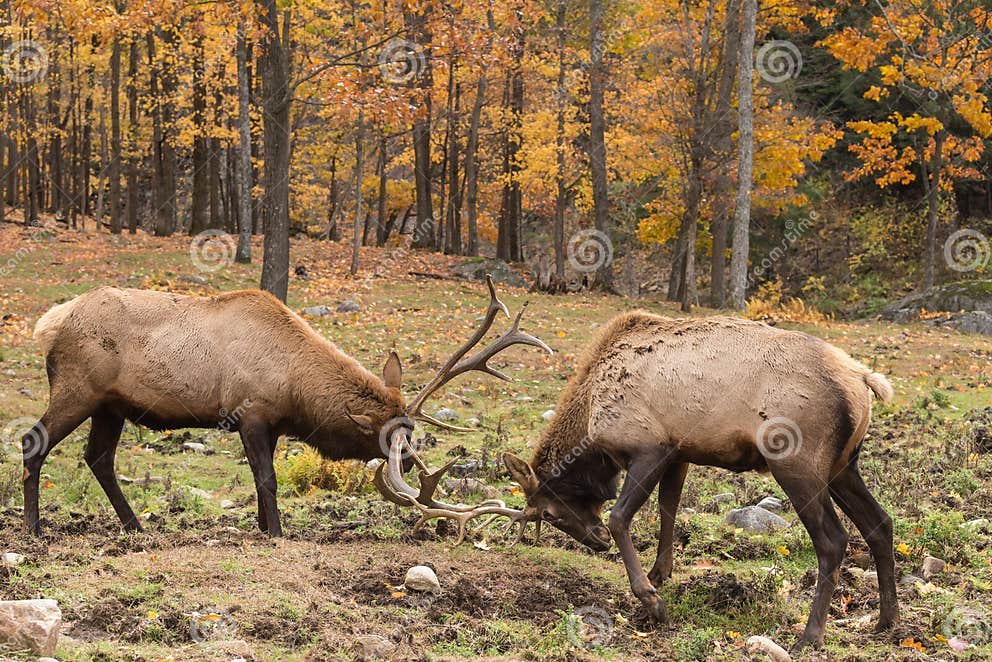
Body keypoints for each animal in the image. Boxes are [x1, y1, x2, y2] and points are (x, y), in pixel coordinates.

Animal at [22, 276, 550, 537]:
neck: (297, 390)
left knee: (99, 458)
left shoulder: (273, 425)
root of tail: (50, 322)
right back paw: (34, 529)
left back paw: (134, 526)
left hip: (111, 406)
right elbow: (267, 479)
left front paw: (262, 524)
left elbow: (262, 482)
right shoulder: (250, 414)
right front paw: (277, 532)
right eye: (389, 442)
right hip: (78, 390)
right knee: (34, 441)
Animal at [494, 311, 898, 650]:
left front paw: (652, 600)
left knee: (833, 539)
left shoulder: (649, 446)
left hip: (796, 461)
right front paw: (660, 574)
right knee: (880, 522)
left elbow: (620, 517)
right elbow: (668, 506)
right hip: (843, 466)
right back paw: (887, 621)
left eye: (549, 514)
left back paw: (810, 636)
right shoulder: (679, 453)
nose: (597, 542)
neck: (592, 419)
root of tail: (864, 382)